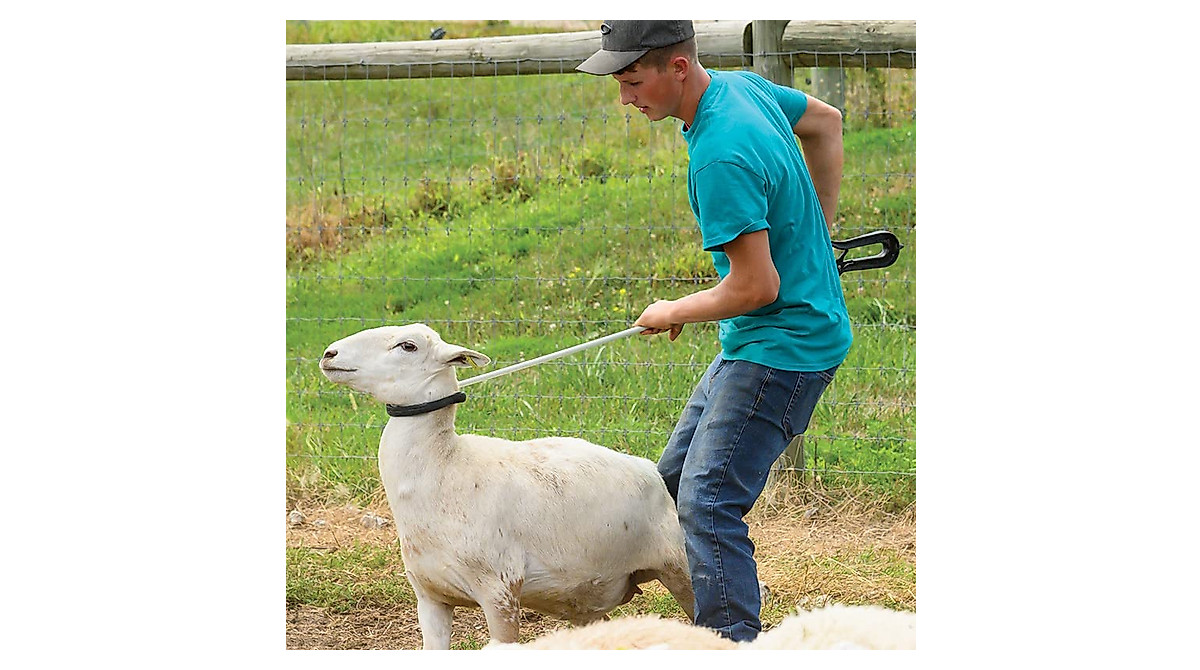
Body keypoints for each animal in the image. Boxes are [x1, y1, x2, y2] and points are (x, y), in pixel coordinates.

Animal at [318, 323, 695, 649]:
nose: (329, 353)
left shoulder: (499, 593)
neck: (446, 467)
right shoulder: (429, 597)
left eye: (408, 346)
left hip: (680, 568)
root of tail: (651, 470)